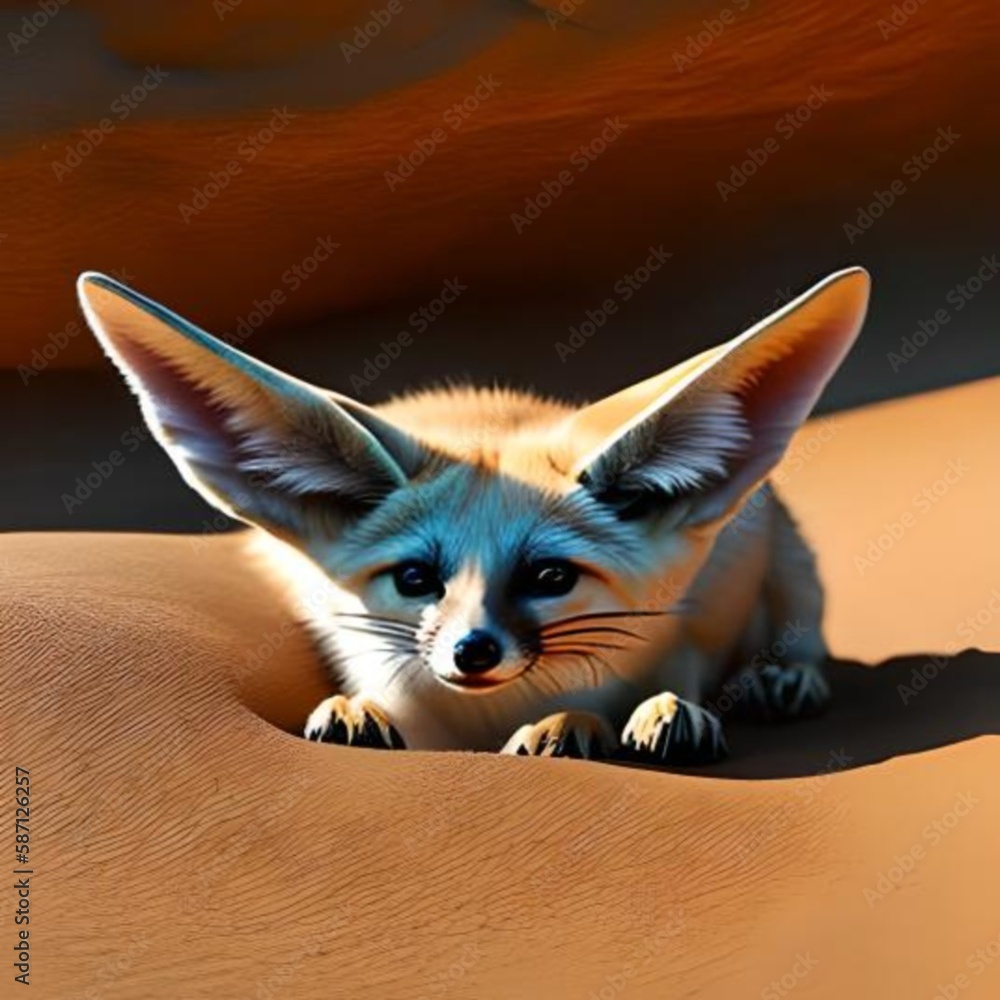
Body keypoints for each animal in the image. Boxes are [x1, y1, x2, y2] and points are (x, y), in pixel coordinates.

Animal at [77, 266, 870, 765]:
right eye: (414, 578)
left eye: (551, 577)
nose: (473, 651)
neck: (484, 720)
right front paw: (356, 714)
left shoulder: (686, 631)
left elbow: (657, 689)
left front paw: (624, 717)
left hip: (783, 554)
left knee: (799, 627)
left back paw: (785, 679)